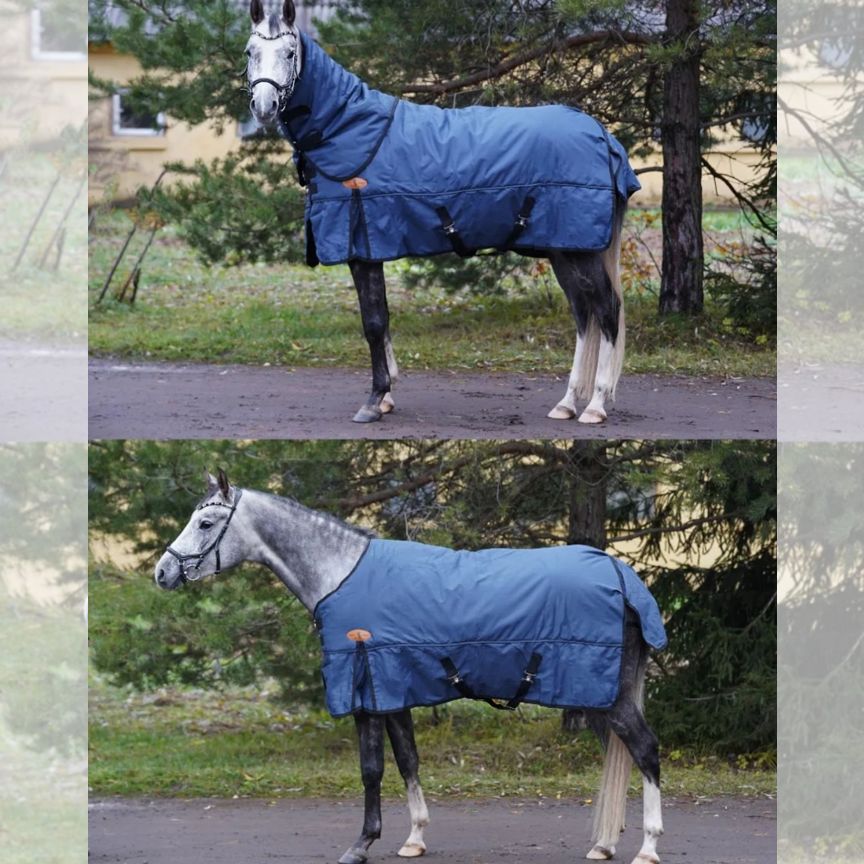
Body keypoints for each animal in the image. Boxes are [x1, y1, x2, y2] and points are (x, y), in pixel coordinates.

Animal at [155, 470, 666, 864]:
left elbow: (371, 769)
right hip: (597, 698)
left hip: (611, 698)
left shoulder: (365, 692)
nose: (162, 572)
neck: (341, 573)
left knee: (646, 752)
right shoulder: (391, 690)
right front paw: (415, 838)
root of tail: (622, 576)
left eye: (205, 522)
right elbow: (407, 762)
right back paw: (603, 845)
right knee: (620, 756)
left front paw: (361, 844)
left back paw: (648, 847)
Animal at [244, 0, 641, 425]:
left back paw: (595, 405)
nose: (264, 107)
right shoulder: (369, 249)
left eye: (289, 53)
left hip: (579, 251)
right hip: (562, 250)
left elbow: (373, 322)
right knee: (584, 315)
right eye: (250, 52)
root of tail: (604, 137)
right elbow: (383, 319)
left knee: (607, 311)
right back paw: (566, 403)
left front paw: (374, 400)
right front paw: (388, 395)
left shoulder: (362, 247)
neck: (349, 130)